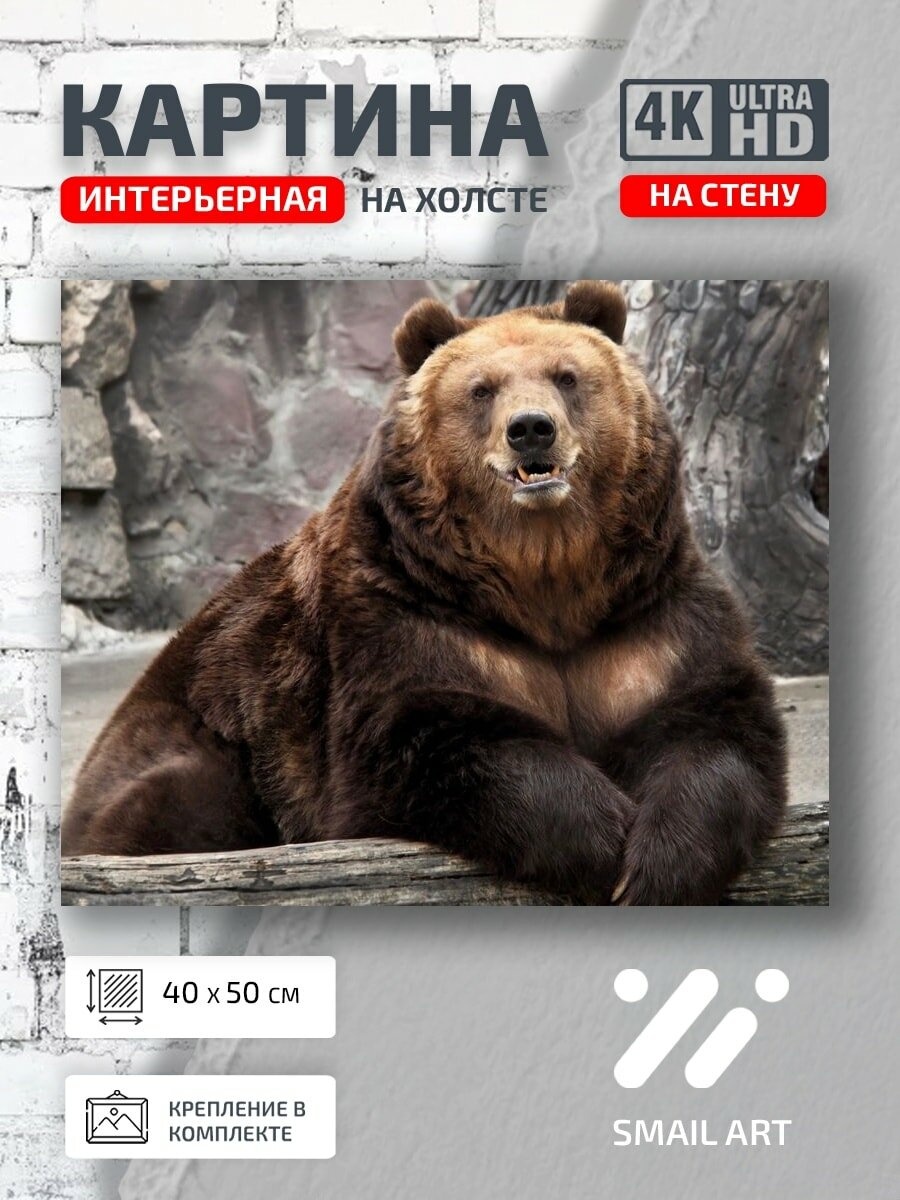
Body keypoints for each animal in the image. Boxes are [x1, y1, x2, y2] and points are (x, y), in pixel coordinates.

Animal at [62, 281, 787, 905]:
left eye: (567, 376)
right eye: (482, 389)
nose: (532, 428)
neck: (546, 582)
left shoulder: (645, 616)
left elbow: (713, 724)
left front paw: (660, 866)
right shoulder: (405, 611)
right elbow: (435, 736)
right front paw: (605, 842)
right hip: (204, 736)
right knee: (177, 807)